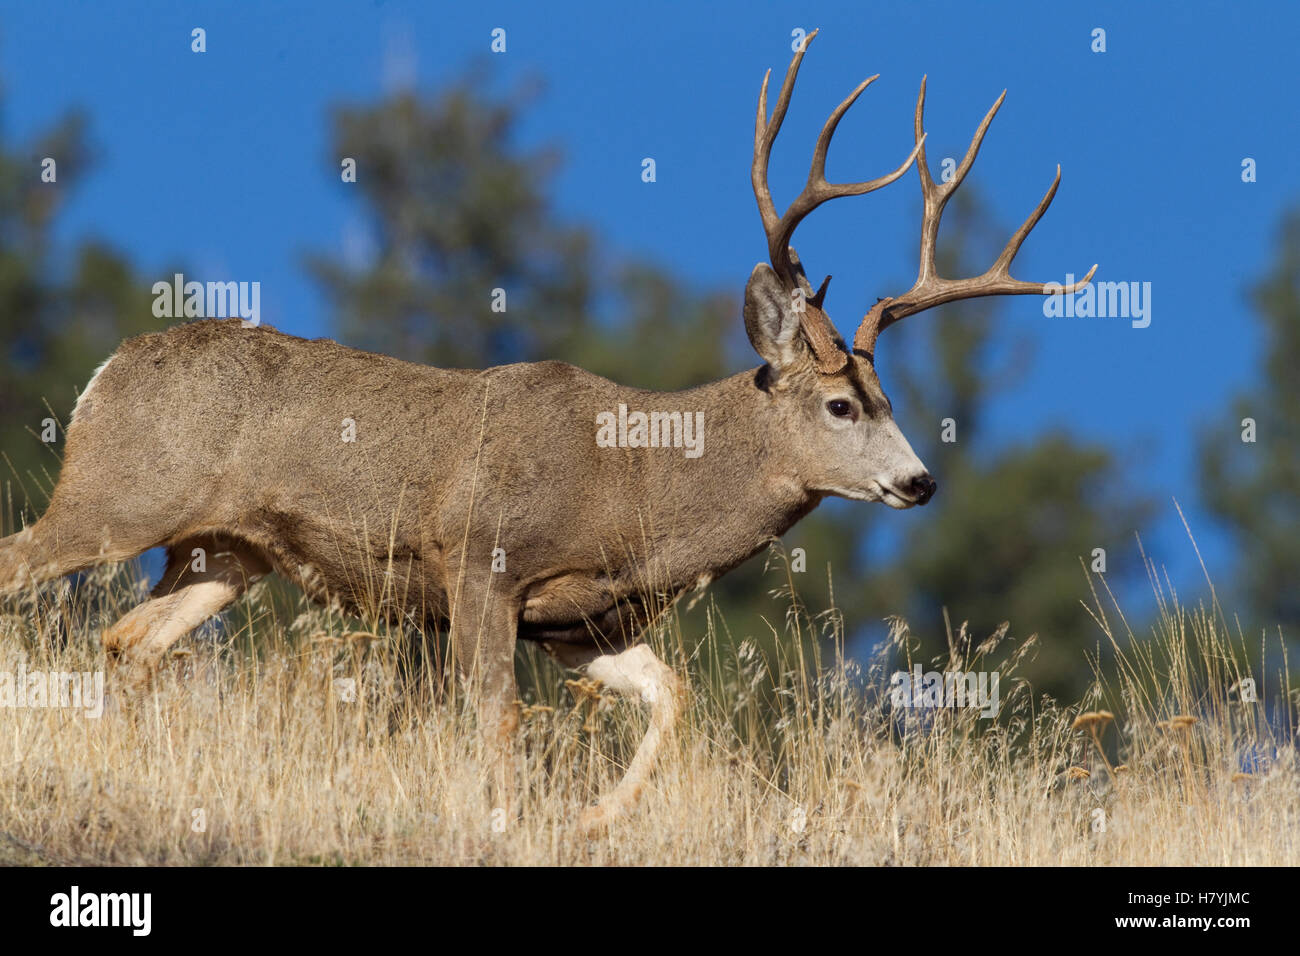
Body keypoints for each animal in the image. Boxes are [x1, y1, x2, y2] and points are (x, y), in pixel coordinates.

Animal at [0, 31, 1094, 831]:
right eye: (841, 404)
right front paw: (501, 819)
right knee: (26, 566)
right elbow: (494, 720)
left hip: (225, 549)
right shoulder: (478, 561)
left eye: (894, 400)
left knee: (125, 639)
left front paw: (593, 819)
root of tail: (105, 372)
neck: (632, 481)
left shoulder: (578, 621)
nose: (920, 482)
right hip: (117, 495)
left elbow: (673, 696)